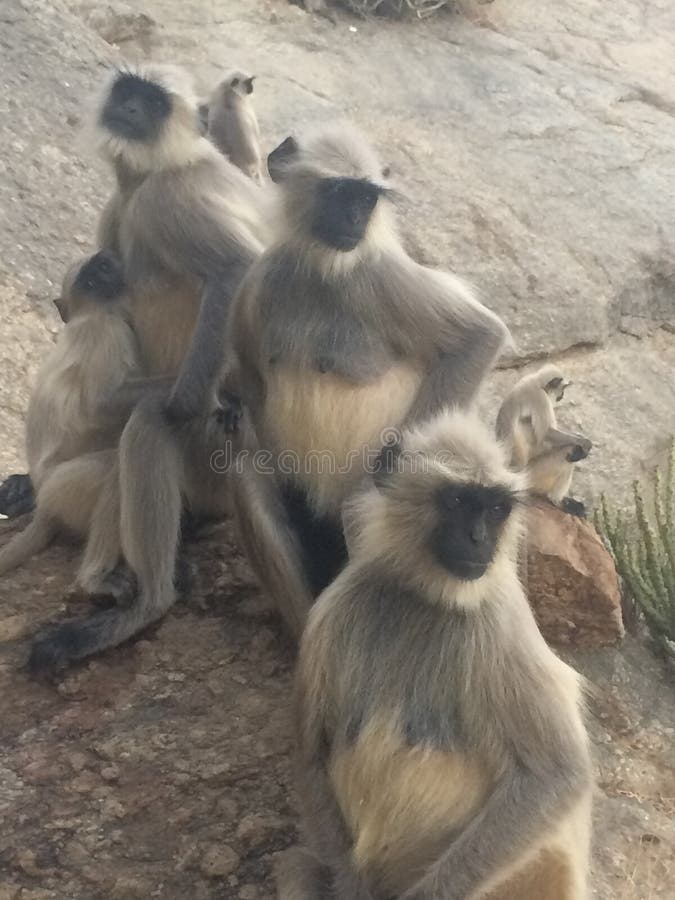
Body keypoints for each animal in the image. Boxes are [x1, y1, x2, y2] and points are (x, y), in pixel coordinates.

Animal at [27, 63, 271, 671]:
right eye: (128, 91)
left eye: (156, 102)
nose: (133, 110)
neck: (150, 173)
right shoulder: (120, 206)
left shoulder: (165, 200)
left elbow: (237, 270)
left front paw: (182, 404)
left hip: (220, 457)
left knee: (148, 423)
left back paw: (146, 603)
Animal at [220, 123, 511, 639]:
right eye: (339, 192)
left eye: (367, 197)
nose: (355, 219)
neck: (321, 271)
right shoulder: (258, 283)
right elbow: (249, 381)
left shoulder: (379, 275)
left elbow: (479, 336)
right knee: (247, 471)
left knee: (360, 504)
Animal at [281, 409, 594, 900]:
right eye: (459, 500)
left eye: (496, 508)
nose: (479, 538)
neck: (425, 596)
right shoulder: (336, 608)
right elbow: (312, 754)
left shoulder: (500, 623)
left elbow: (558, 776)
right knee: (296, 865)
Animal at [495, 365, 592, 517]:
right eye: (562, 389)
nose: (562, 395)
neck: (536, 381)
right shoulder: (539, 397)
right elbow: (546, 433)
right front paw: (584, 443)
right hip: (533, 475)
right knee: (568, 455)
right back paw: (557, 500)